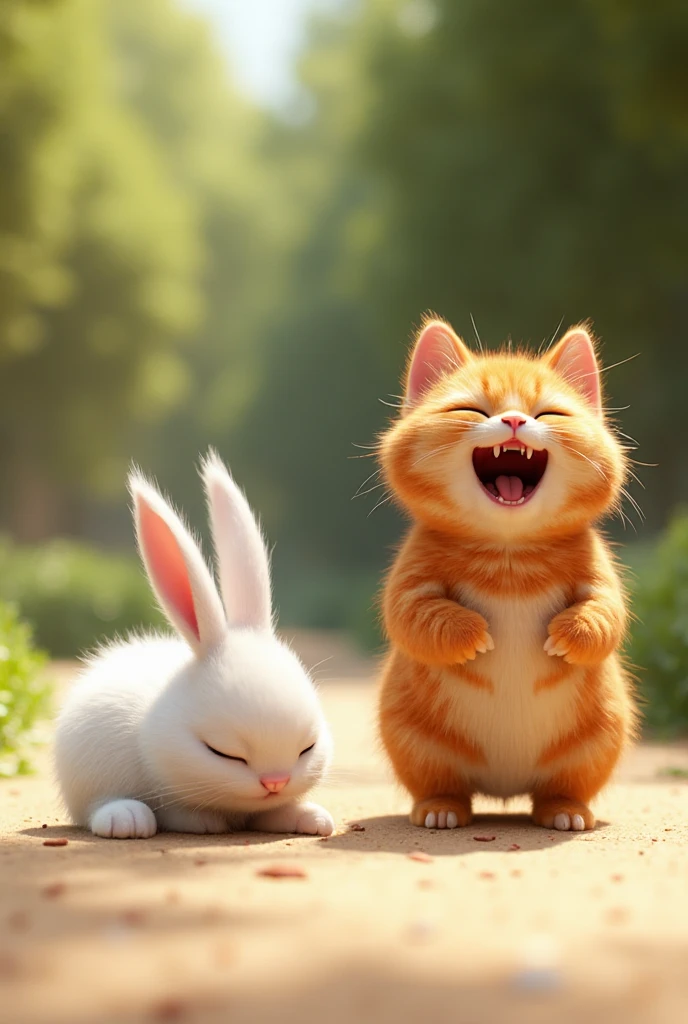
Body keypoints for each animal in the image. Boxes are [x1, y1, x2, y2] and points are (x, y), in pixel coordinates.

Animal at [54, 451, 335, 839]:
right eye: (223, 753)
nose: (275, 781)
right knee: (97, 806)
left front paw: (313, 818)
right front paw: (204, 821)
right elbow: (179, 810)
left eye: (308, 747)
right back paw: (126, 819)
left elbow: (274, 812)